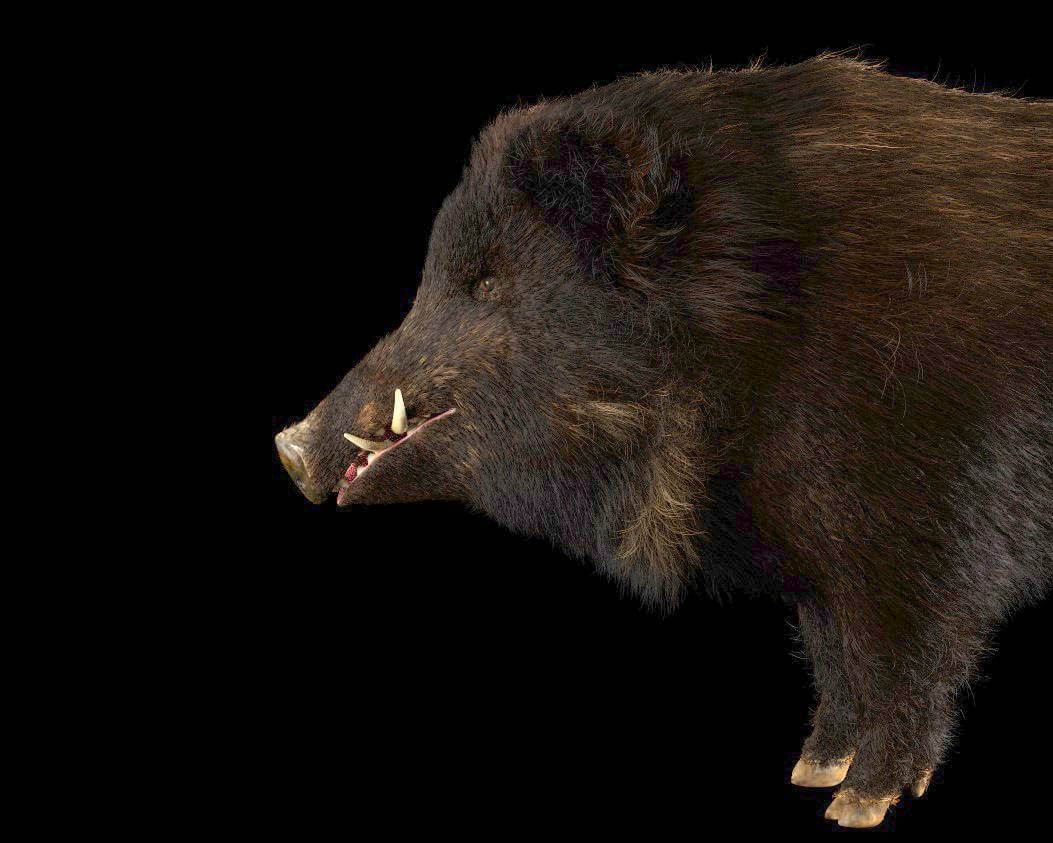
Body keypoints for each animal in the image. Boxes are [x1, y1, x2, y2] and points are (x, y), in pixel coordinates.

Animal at [275, 54, 1052, 827]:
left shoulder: (925, 539)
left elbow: (900, 663)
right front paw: (810, 771)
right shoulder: (814, 549)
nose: (287, 446)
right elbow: (835, 658)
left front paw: (855, 807)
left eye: (488, 282)